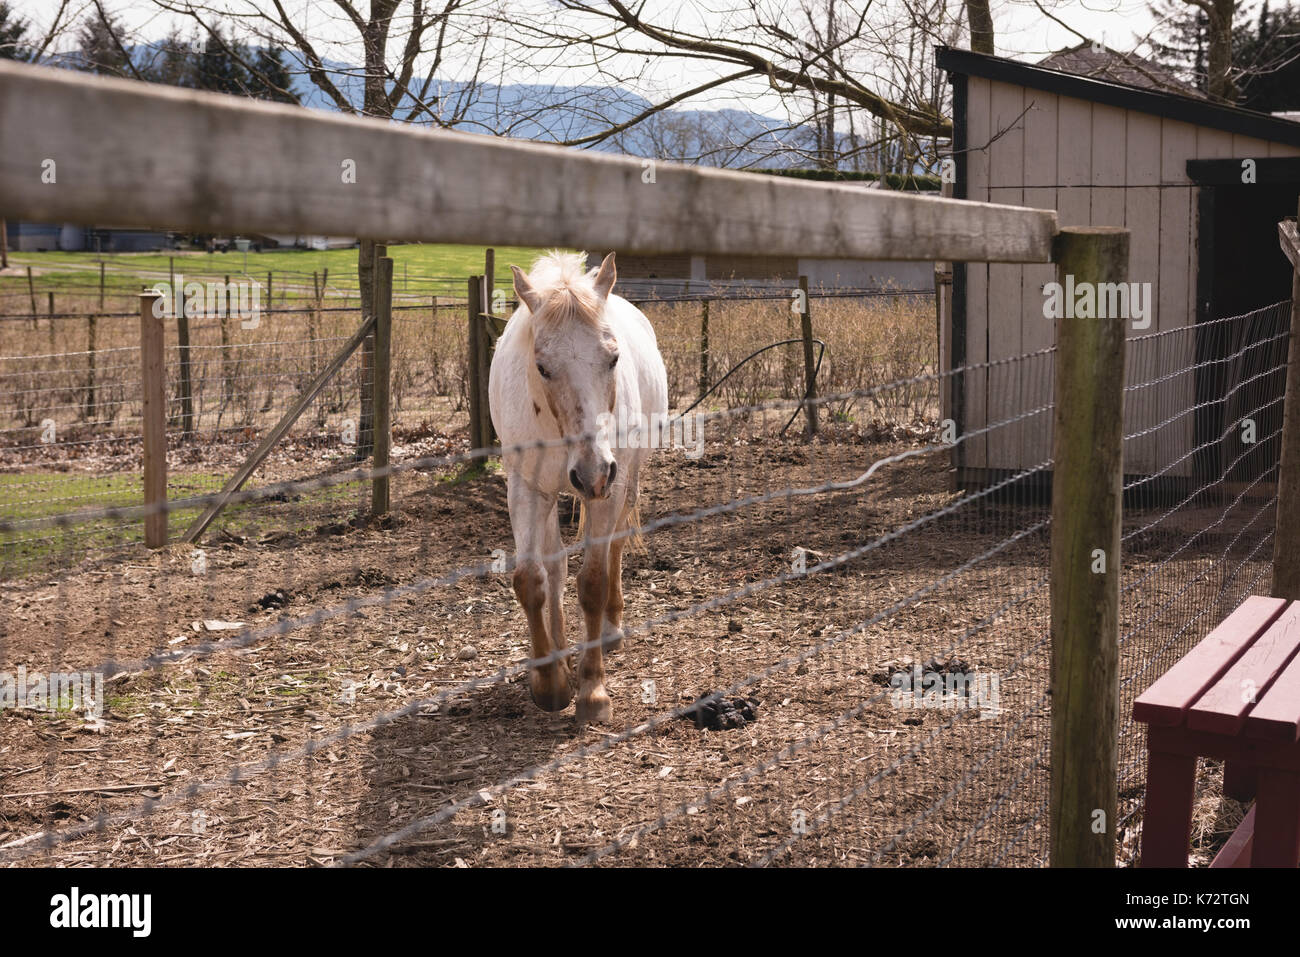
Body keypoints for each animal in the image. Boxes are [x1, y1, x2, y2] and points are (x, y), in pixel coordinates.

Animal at [489, 251, 669, 724]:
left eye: (613, 358)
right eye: (542, 367)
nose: (592, 473)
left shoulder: (611, 487)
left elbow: (593, 581)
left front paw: (592, 691)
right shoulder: (526, 489)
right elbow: (532, 578)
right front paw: (550, 681)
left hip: (626, 480)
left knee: (617, 547)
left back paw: (610, 630)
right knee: (554, 566)